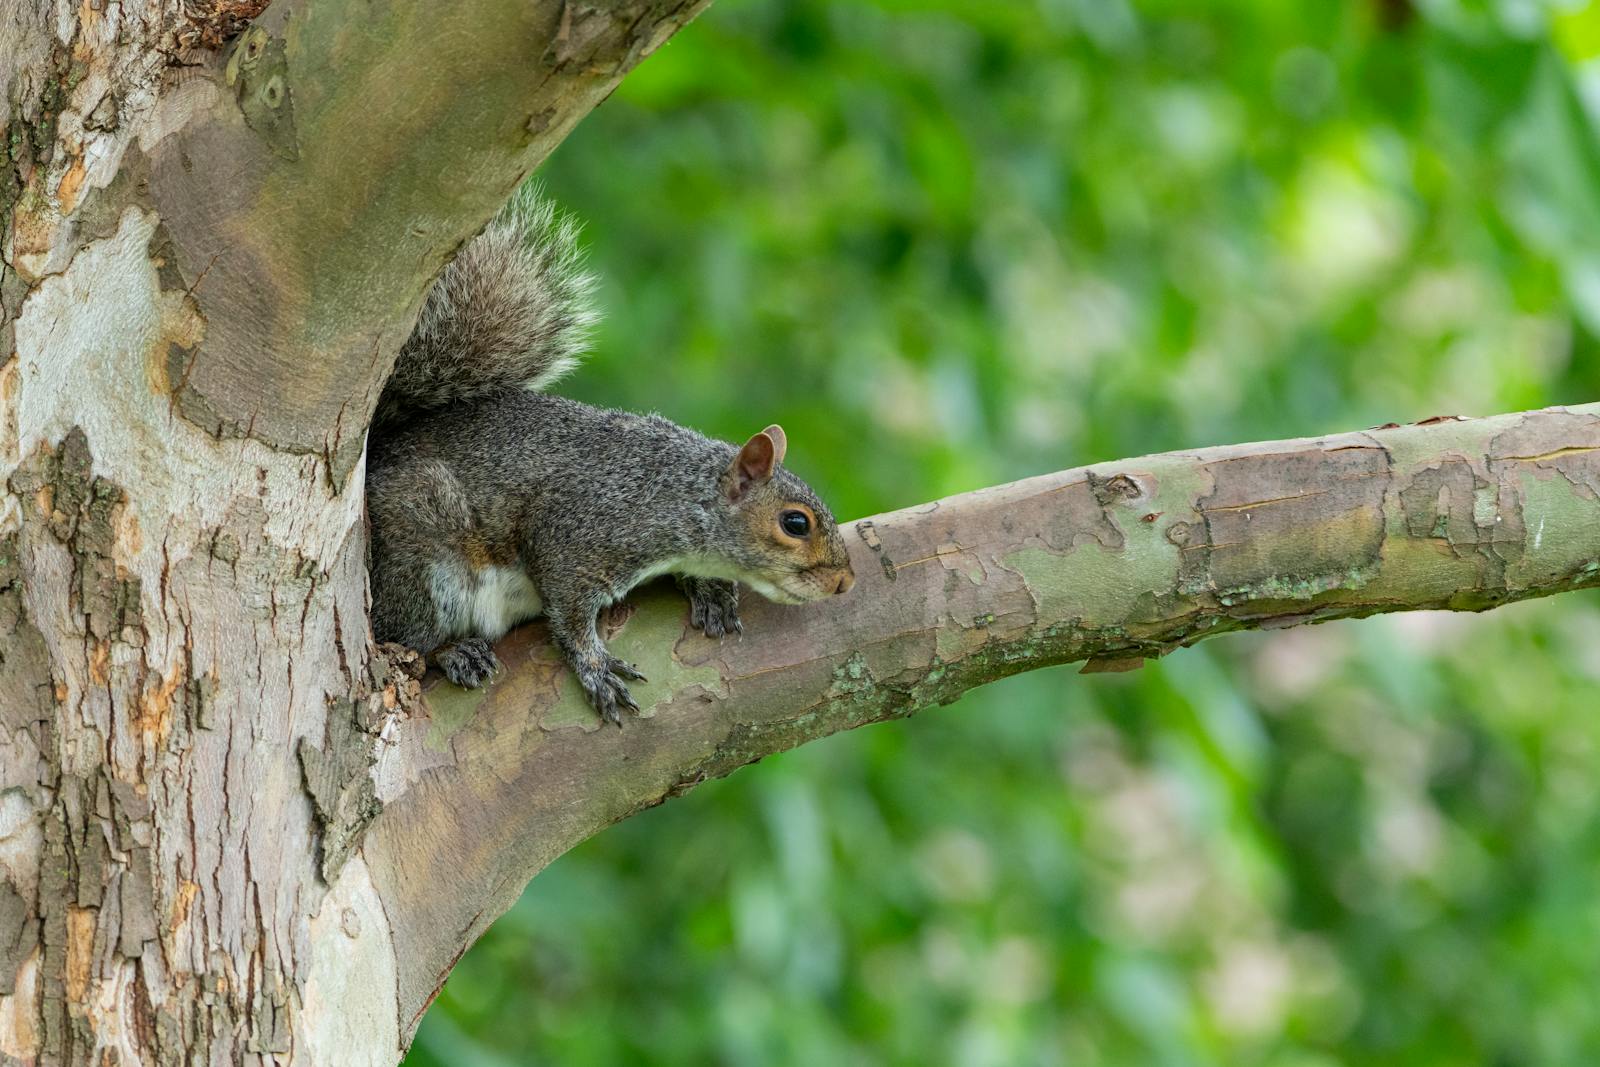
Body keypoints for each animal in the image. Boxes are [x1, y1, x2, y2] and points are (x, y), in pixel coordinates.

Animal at [366, 189, 857, 726]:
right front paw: (595, 666)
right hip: (419, 558)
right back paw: (453, 650)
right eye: (795, 523)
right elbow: (570, 611)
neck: (674, 488)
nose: (845, 582)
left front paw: (707, 589)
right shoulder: (576, 534)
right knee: (402, 634)